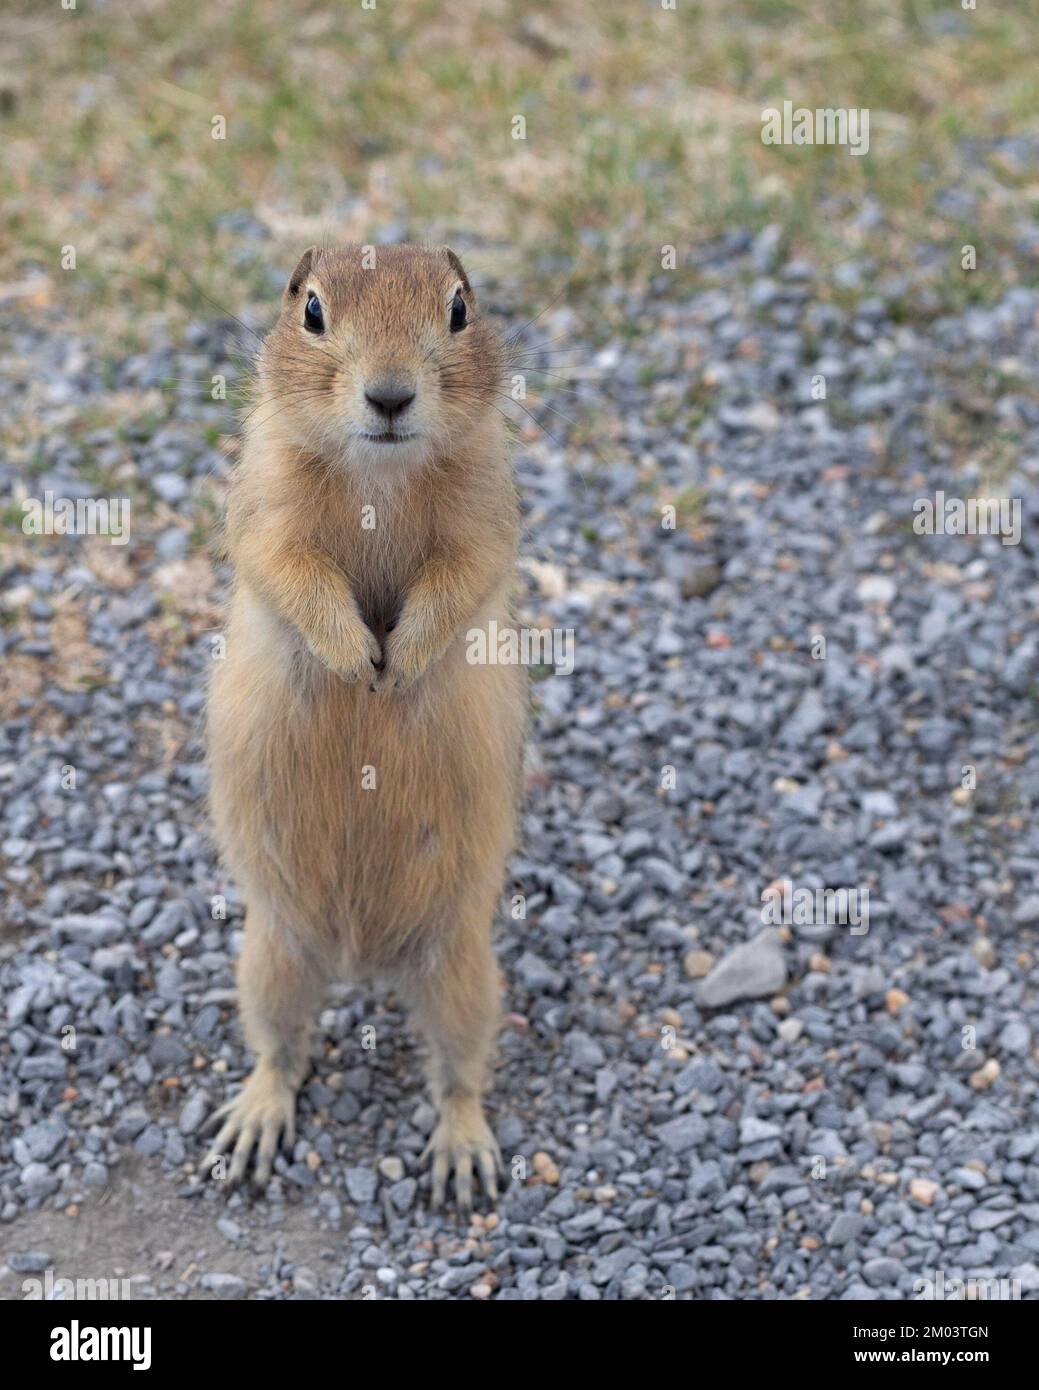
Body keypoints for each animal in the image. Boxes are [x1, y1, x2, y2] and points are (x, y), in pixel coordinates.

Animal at [204, 244, 526, 1210]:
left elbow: (464, 574)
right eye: (311, 309)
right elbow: (287, 567)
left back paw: (462, 1156)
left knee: (459, 1068)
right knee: (279, 1049)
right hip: (268, 955)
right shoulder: (267, 501)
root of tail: (362, 959)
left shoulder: (485, 512)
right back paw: (251, 1127)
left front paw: (399, 663)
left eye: (459, 310)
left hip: (463, 968)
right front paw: (357, 660)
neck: (379, 473)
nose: (389, 396)